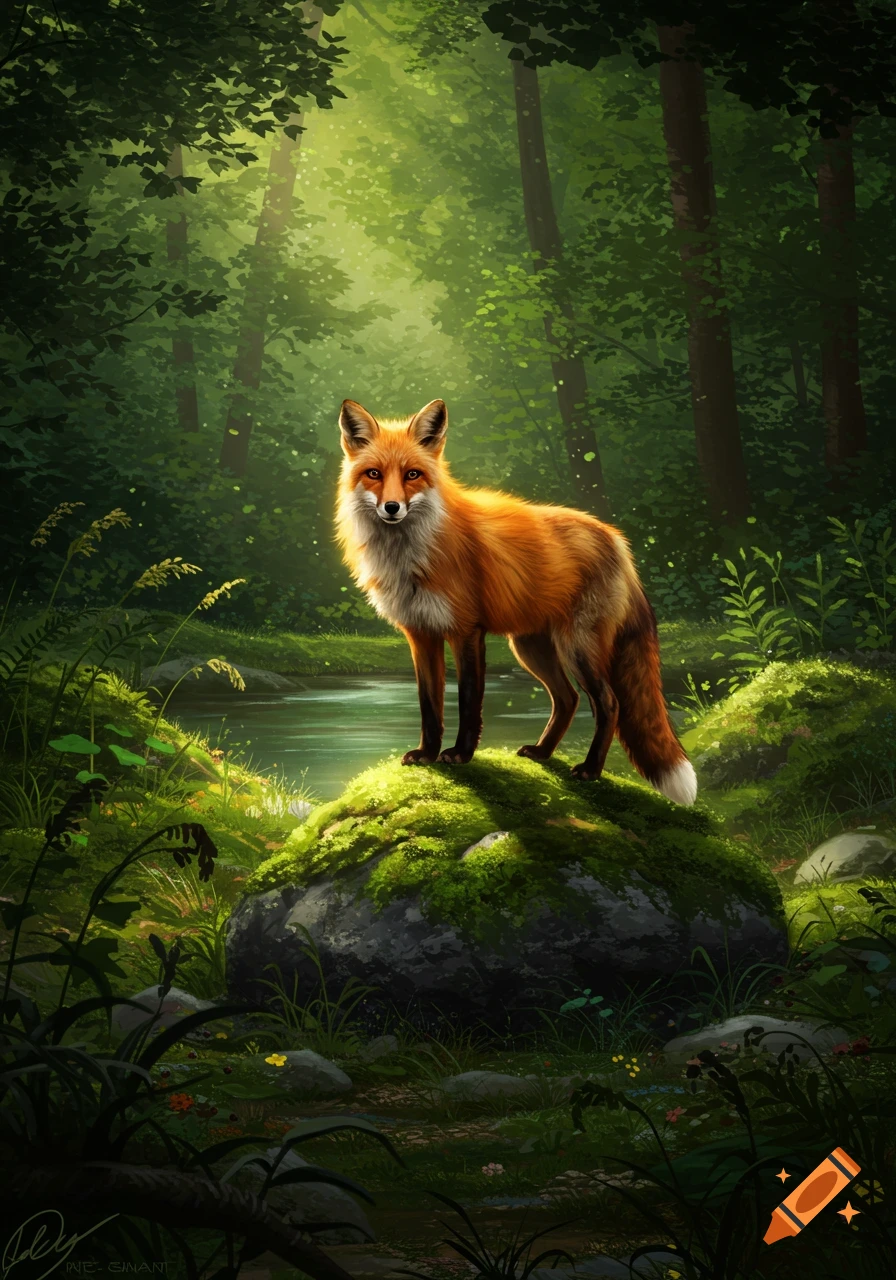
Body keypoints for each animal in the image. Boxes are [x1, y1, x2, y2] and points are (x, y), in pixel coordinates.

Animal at [335, 397, 697, 805]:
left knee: (608, 703)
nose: (393, 507)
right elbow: (430, 706)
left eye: (413, 474)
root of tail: (616, 538)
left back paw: (590, 770)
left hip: (577, 647)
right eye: (374, 474)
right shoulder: (421, 634)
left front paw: (460, 754)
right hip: (530, 647)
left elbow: (467, 702)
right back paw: (542, 753)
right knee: (568, 699)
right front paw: (427, 754)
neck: (411, 555)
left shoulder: (466, 631)